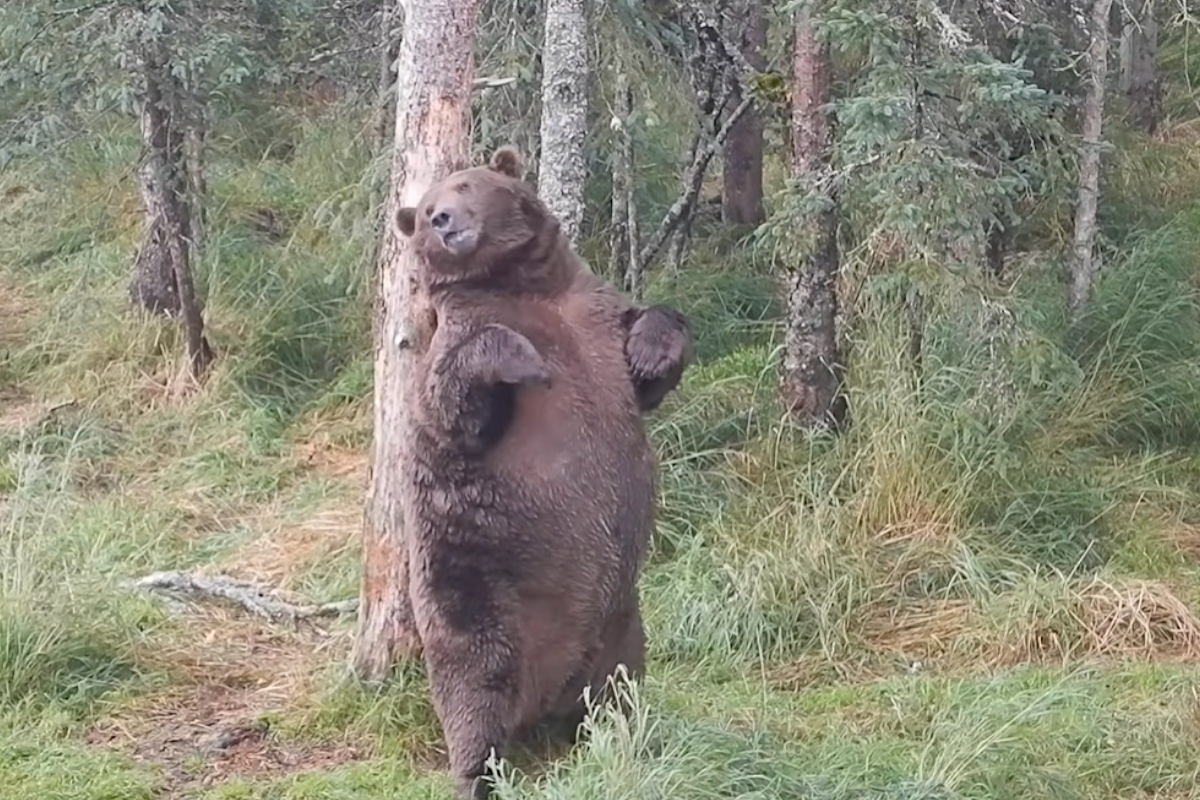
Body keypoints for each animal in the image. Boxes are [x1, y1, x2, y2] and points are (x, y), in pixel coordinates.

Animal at [393, 147, 691, 799]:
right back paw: (478, 774)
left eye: (466, 184)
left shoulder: (593, 312)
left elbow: (650, 340)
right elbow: (451, 401)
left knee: (623, 686)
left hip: (622, 625)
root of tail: (545, 700)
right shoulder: (455, 345)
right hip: (475, 602)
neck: (520, 282)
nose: (444, 220)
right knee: (474, 698)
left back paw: (625, 733)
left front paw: (651, 351)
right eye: (424, 212)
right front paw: (525, 361)